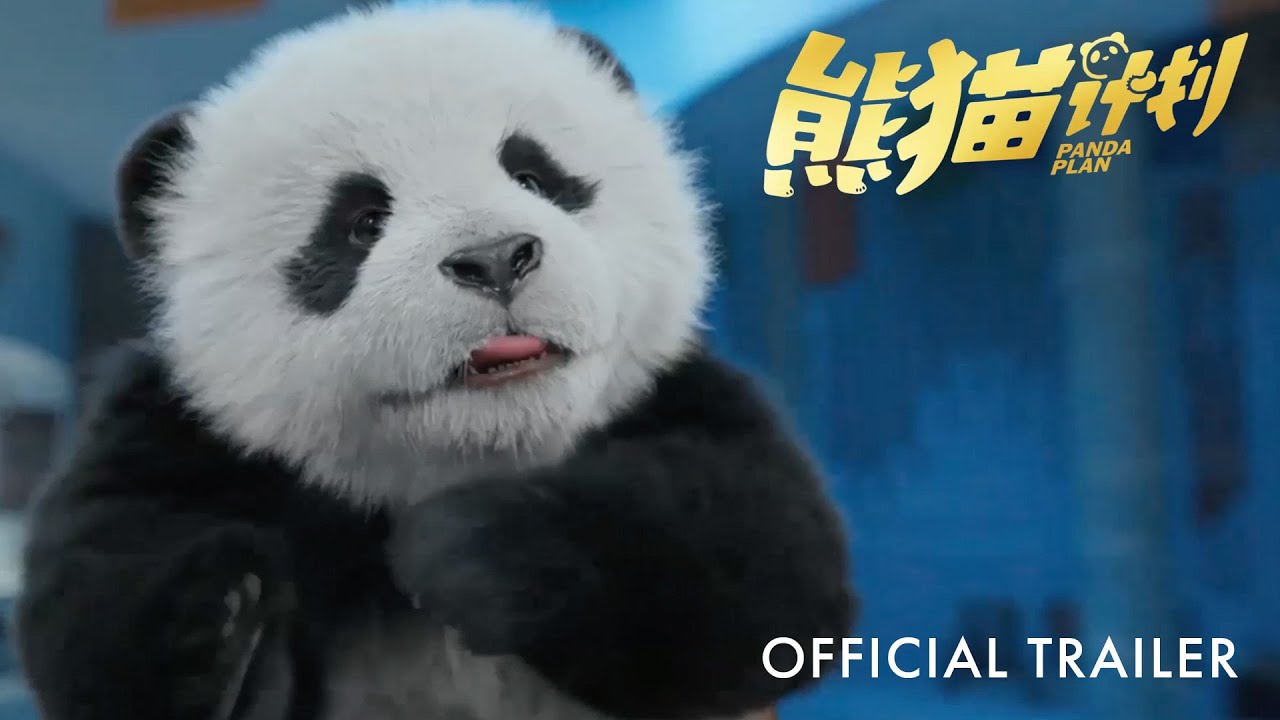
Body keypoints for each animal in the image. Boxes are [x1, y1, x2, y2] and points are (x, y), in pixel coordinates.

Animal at [14, 3, 855, 720]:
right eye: (361, 221)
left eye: (534, 175)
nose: (496, 259)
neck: (462, 453)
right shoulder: (187, 424)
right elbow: (88, 603)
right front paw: (220, 607)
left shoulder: (667, 387)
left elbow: (771, 559)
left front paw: (472, 549)